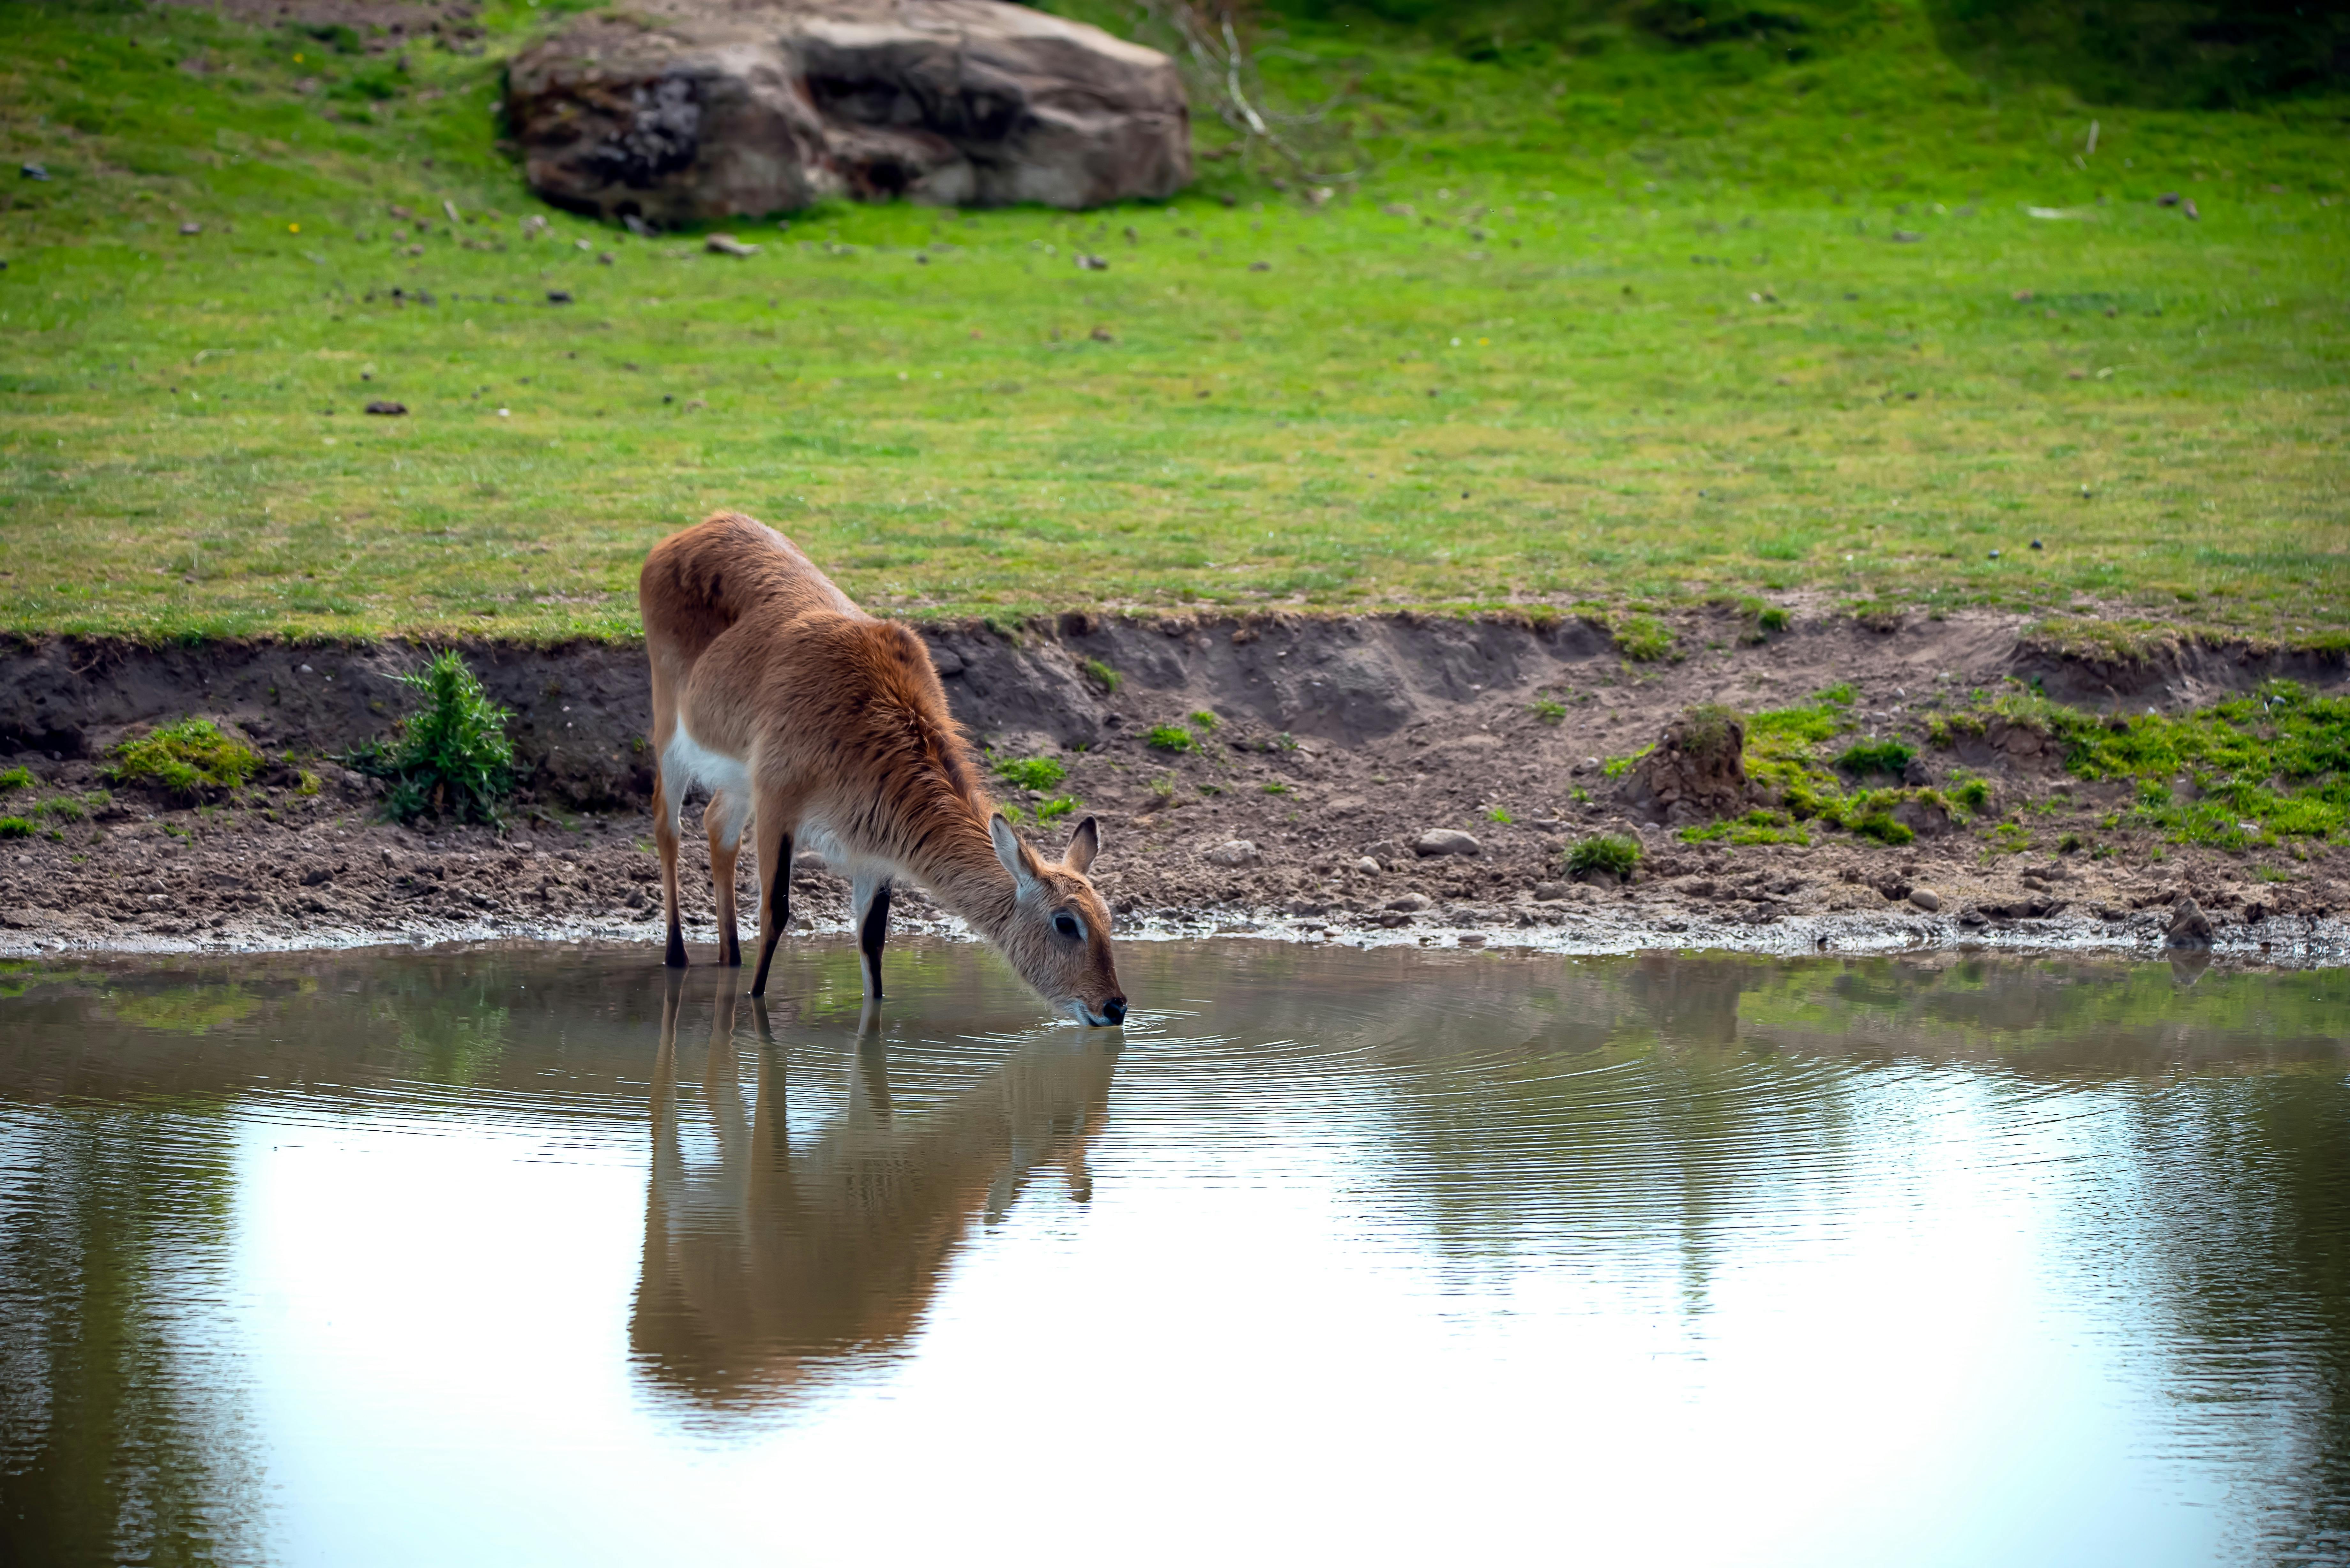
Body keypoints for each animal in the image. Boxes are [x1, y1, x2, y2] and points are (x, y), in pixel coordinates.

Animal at [640, 511, 1127, 1026]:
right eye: (1066, 922)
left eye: (1108, 917)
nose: (1115, 1006)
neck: (866, 726)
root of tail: (703, 526)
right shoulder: (777, 805)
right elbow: (776, 914)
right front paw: (756, 1004)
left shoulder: (873, 851)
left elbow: (871, 941)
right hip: (671, 732)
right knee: (666, 821)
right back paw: (677, 954)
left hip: (735, 781)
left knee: (717, 825)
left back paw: (729, 957)